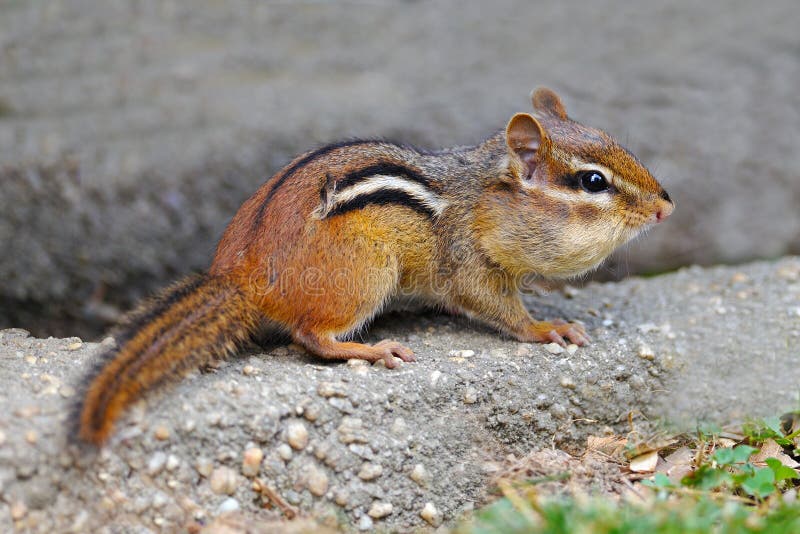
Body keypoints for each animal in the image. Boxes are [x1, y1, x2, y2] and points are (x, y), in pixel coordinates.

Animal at [76, 88, 673, 445]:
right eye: (593, 181)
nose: (666, 206)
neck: (482, 198)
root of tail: (239, 278)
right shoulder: (467, 265)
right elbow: (499, 310)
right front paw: (548, 328)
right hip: (366, 274)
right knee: (310, 338)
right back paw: (372, 349)